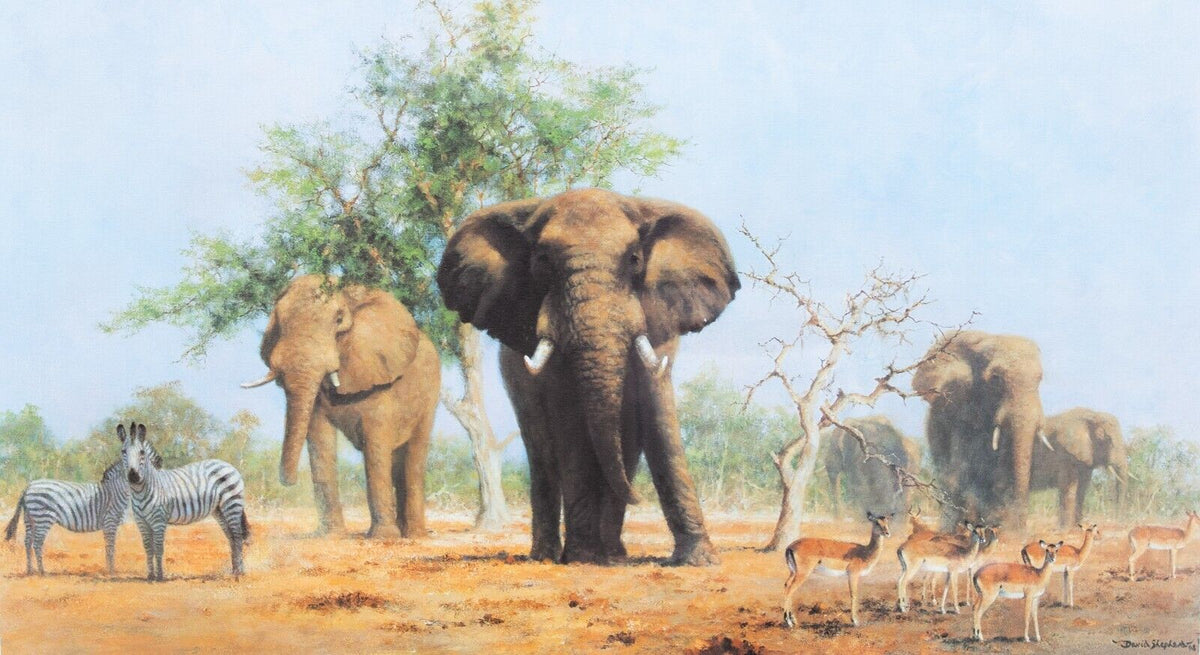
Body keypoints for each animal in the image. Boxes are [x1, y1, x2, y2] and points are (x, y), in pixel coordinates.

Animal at [241, 275, 440, 538]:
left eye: (338, 320)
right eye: (278, 321)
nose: (288, 482)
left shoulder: (379, 375)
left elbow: (376, 446)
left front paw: (382, 537)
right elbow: (320, 440)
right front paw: (330, 536)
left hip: (430, 395)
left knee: (413, 456)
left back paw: (414, 535)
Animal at [436, 188, 739, 565]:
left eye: (634, 259)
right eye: (543, 260)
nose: (639, 497)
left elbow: (658, 418)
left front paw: (698, 562)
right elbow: (570, 427)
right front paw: (582, 557)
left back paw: (613, 554)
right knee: (543, 452)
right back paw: (549, 556)